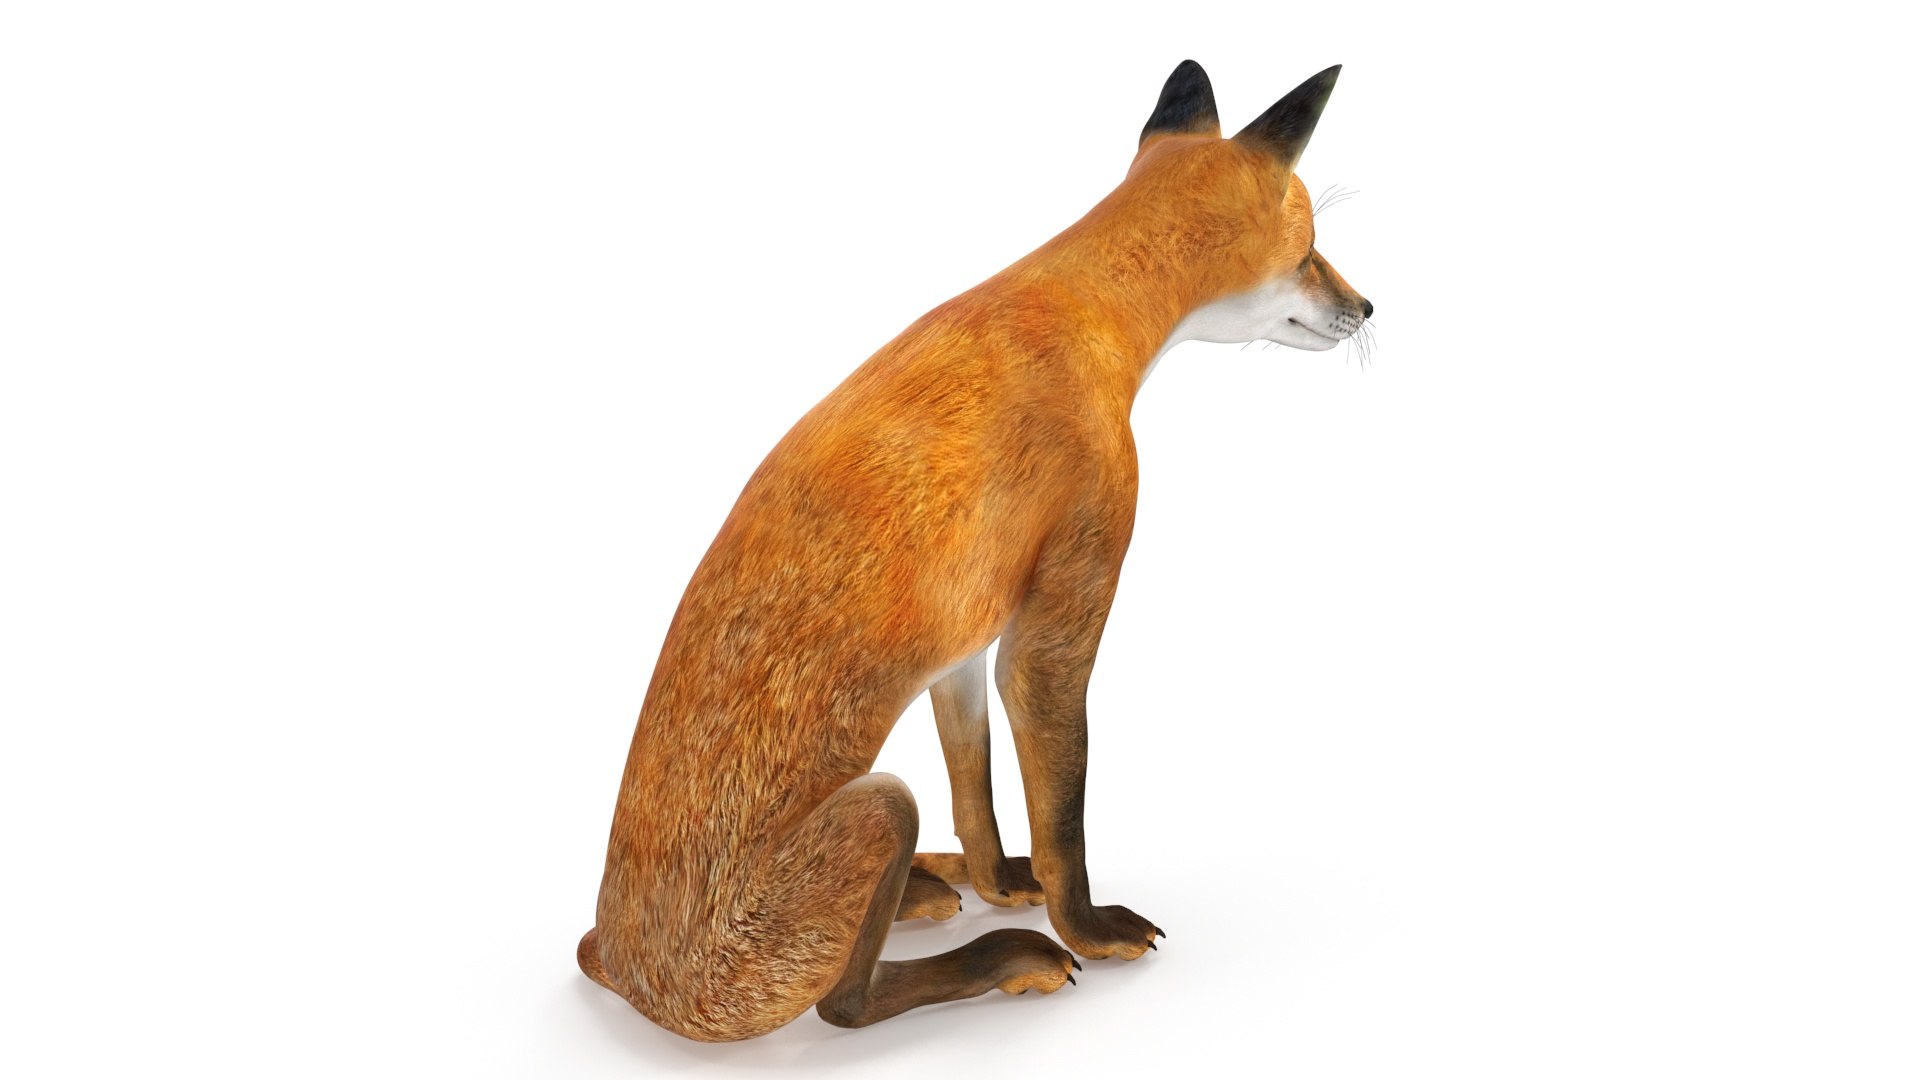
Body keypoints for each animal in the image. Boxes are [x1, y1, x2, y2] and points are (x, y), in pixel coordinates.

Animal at [580, 60, 1373, 1042]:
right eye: (1312, 248)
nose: (1368, 308)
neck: (1079, 309)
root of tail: (624, 971)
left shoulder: (962, 646)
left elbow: (977, 791)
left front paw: (998, 880)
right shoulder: (1054, 617)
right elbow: (1063, 821)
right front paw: (1085, 927)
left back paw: (935, 885)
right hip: (876, 811)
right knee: (843, 1005)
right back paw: (1000, 959)